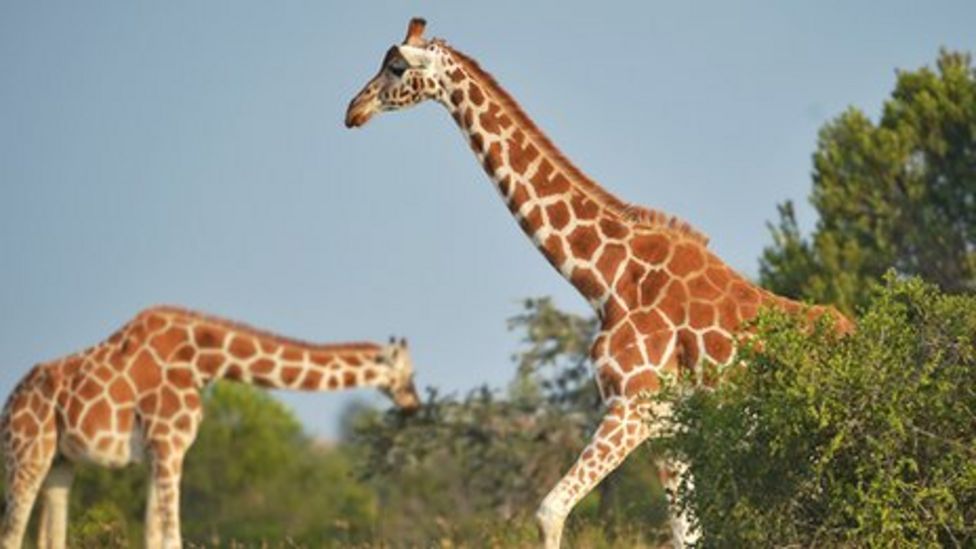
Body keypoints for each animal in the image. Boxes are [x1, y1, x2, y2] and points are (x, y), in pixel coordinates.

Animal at [0, 305, 420, 549]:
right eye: (408, 374)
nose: (415, 404)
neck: (204, 360)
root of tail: (8, 407)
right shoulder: (168, 444)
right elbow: (171, 538)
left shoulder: (159, 452)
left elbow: (153, 536)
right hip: (27, 454)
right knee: (11, 534)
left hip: (61, 461)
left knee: (50, 536)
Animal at [345, 18, 853, 548]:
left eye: (395, 66)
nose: (353, 110)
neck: (606, 278)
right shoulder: (670, 430)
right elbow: (686, 535)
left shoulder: (631, 407)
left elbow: (549, 510)